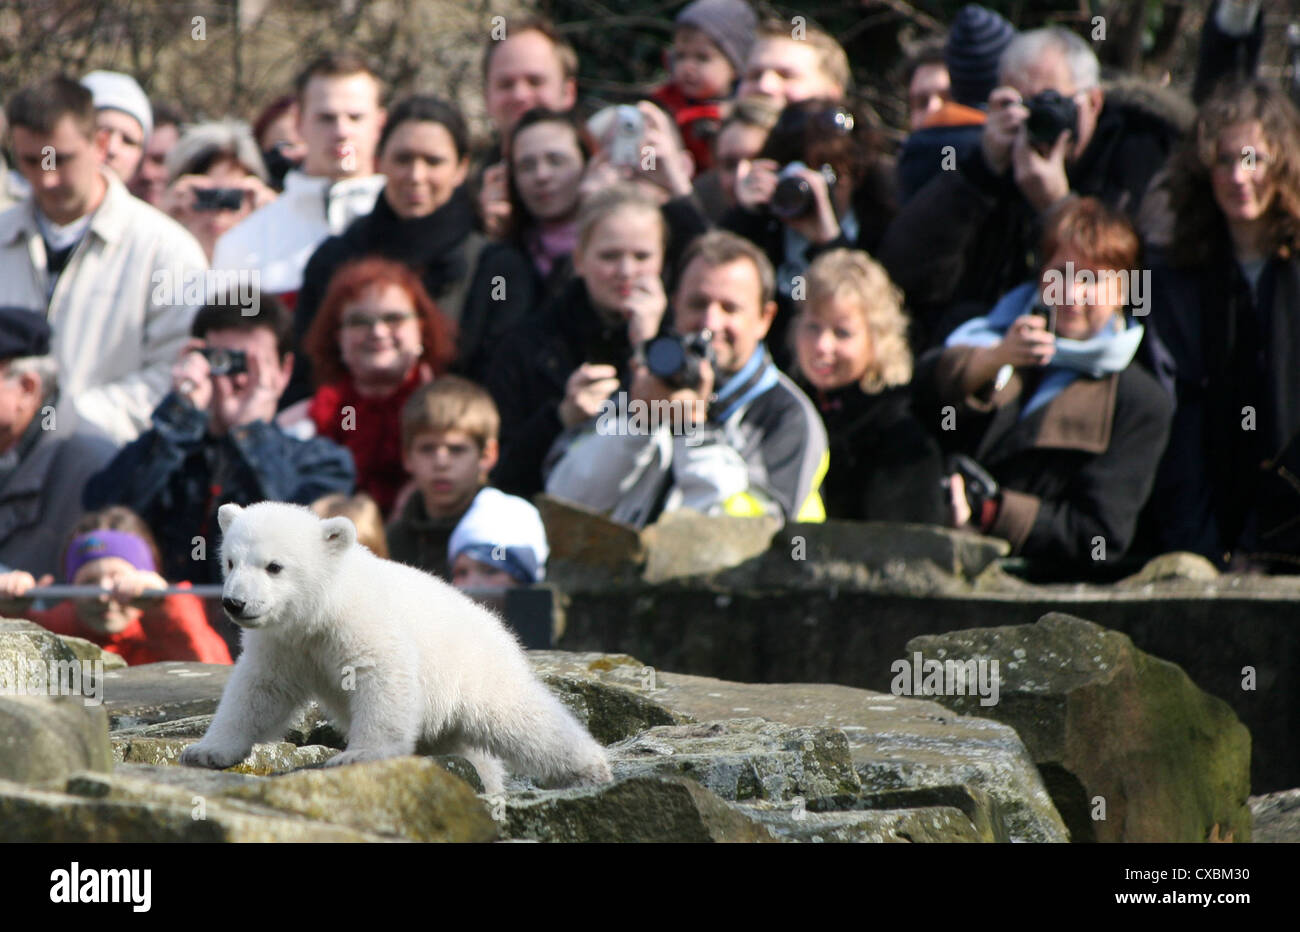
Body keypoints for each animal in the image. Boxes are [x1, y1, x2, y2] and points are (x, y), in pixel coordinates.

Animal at [178, 501, 612, 794]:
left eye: (274, 566)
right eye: (230, 561)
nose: (234, 603)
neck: (323, 609)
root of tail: (497, 626)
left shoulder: (361, 624)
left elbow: (382, 678)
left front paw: (359, 754)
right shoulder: (284, 643)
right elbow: (257, 690)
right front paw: (203, 751)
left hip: (476, 671)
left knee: (521, 719)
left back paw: (589, 769)